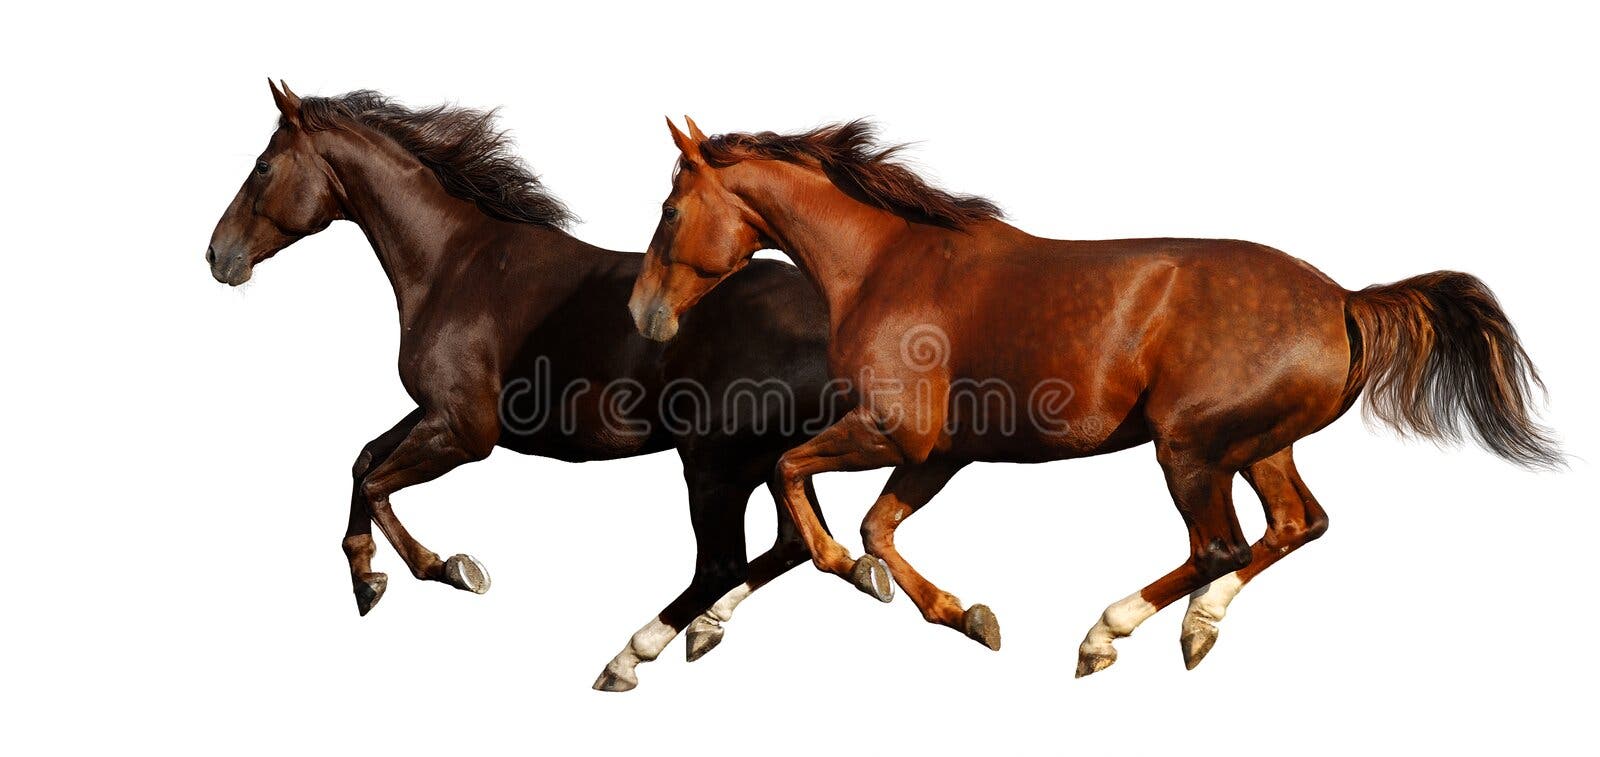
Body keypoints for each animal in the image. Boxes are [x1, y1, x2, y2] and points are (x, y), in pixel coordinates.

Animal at [205, 82, 846, 692]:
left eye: (262, 165)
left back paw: (627, 660)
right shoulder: (437, 414)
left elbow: (376, 484)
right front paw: (366, 578)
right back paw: (708, 628)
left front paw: (451, 569)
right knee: (795, 544)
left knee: (723, 565)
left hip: (715, 465)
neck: (454, 263)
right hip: (773, 460)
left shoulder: (465, 433)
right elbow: (363, 461)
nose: (217, 255)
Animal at [627, 117, 1560, 677]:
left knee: (1222, 544)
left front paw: (860, 579)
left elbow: (801, 484)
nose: (643, 314)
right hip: (1259, 445)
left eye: (670, 209)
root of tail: (1344, 298)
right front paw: (964, 614)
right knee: (1296, 524)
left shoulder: (898, 434)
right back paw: (1197, 627)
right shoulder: (941, 453)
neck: (889, 265)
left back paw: (1107, 633)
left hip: (1190, 449)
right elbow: (877, 526)